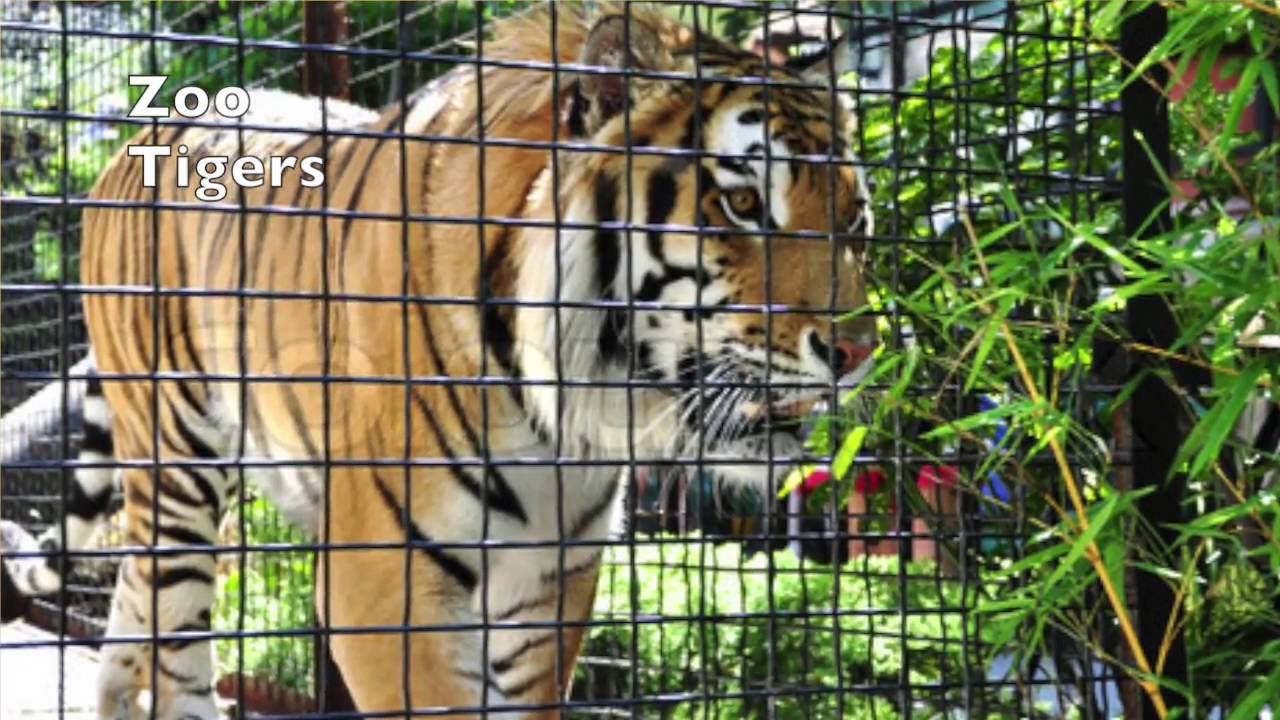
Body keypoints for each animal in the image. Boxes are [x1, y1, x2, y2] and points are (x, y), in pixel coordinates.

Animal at [0, 4, 877, 718]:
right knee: (176, 639)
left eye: (856, 220)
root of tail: (136, 140)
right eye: (741, 203)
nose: (858, 352)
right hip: (177, 456)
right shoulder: (386, 587)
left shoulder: (546, 587)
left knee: (133, 602)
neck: (564, 420)